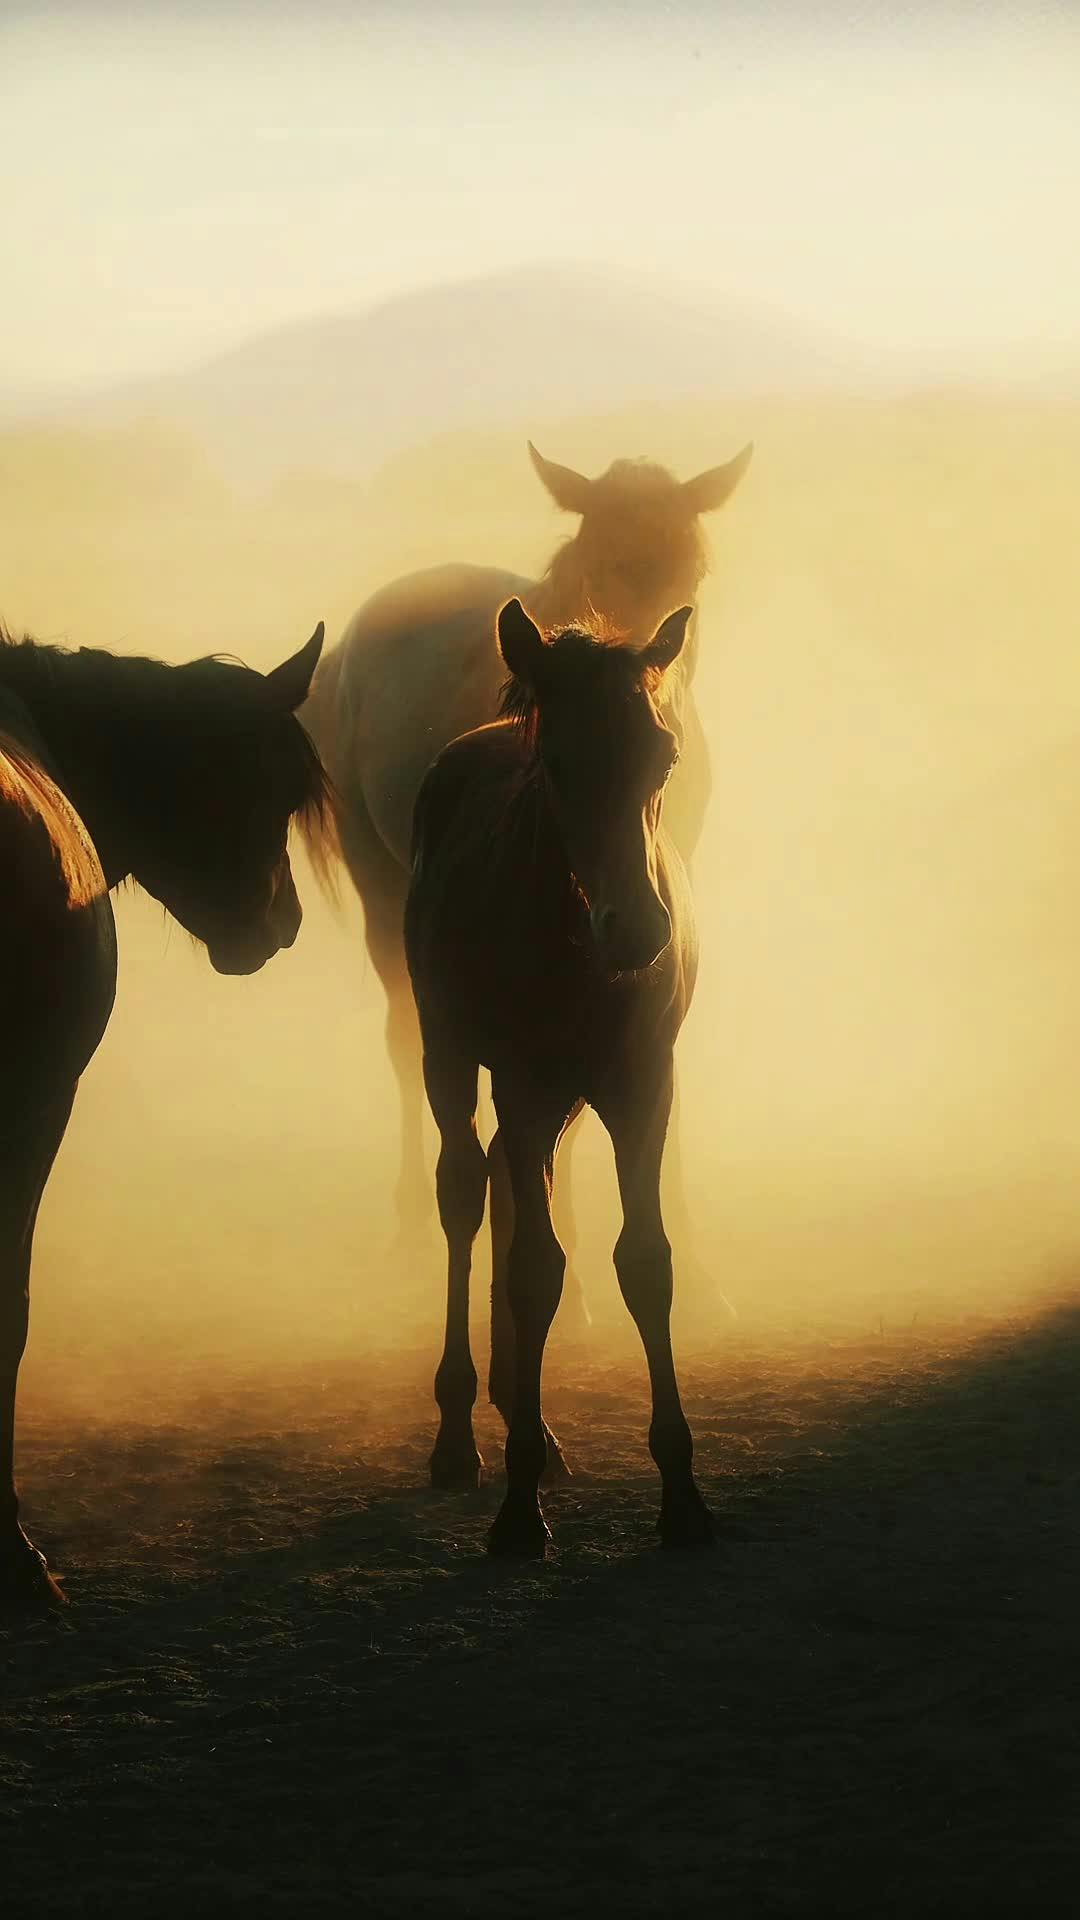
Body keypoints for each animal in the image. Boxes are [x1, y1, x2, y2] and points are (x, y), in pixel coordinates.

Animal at [304, 437, 752, 1290]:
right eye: (600, 563)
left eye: (693, 573)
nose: (643, 707)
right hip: (382, 892)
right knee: (407, 1039)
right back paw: (415, 1228)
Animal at [404, 598, 712, 1555]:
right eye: (560, 764)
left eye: (663, 756)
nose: (637, 928)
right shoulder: (525, 1084)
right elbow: (537, 1270)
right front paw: (517, 1511)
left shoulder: (643, 1087)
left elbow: (647, 1262)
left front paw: (682, 1494)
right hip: (450, 1055)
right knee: (465, 1191)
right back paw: (461, 1433)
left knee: (507, 1185)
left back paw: (524, 1417)